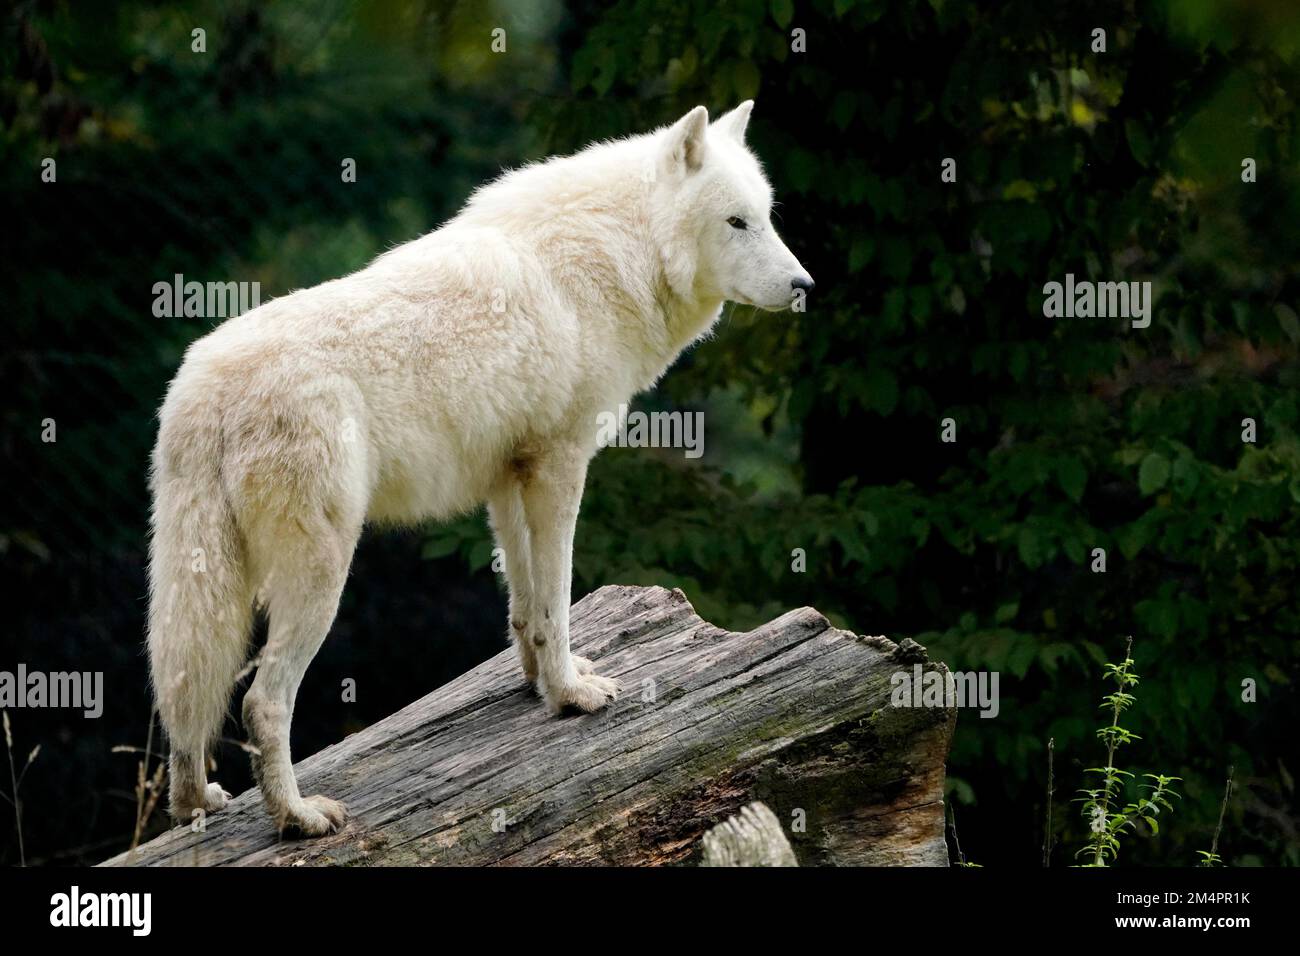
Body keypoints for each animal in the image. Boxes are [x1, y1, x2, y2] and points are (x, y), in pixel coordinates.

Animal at [148, 101, 813, 836]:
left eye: (768, 216)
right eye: (736, 222)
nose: (804, 287)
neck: (617, 254)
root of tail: (204, 389)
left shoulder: (507, 479)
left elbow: (526, 605)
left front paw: (541, 681)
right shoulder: (560, 466)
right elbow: (557, 594)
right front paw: (572, 696)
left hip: (205, 581)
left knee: (181, 685)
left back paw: (195, 805)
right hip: (321, 572)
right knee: (261, 702)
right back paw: (298, 816)